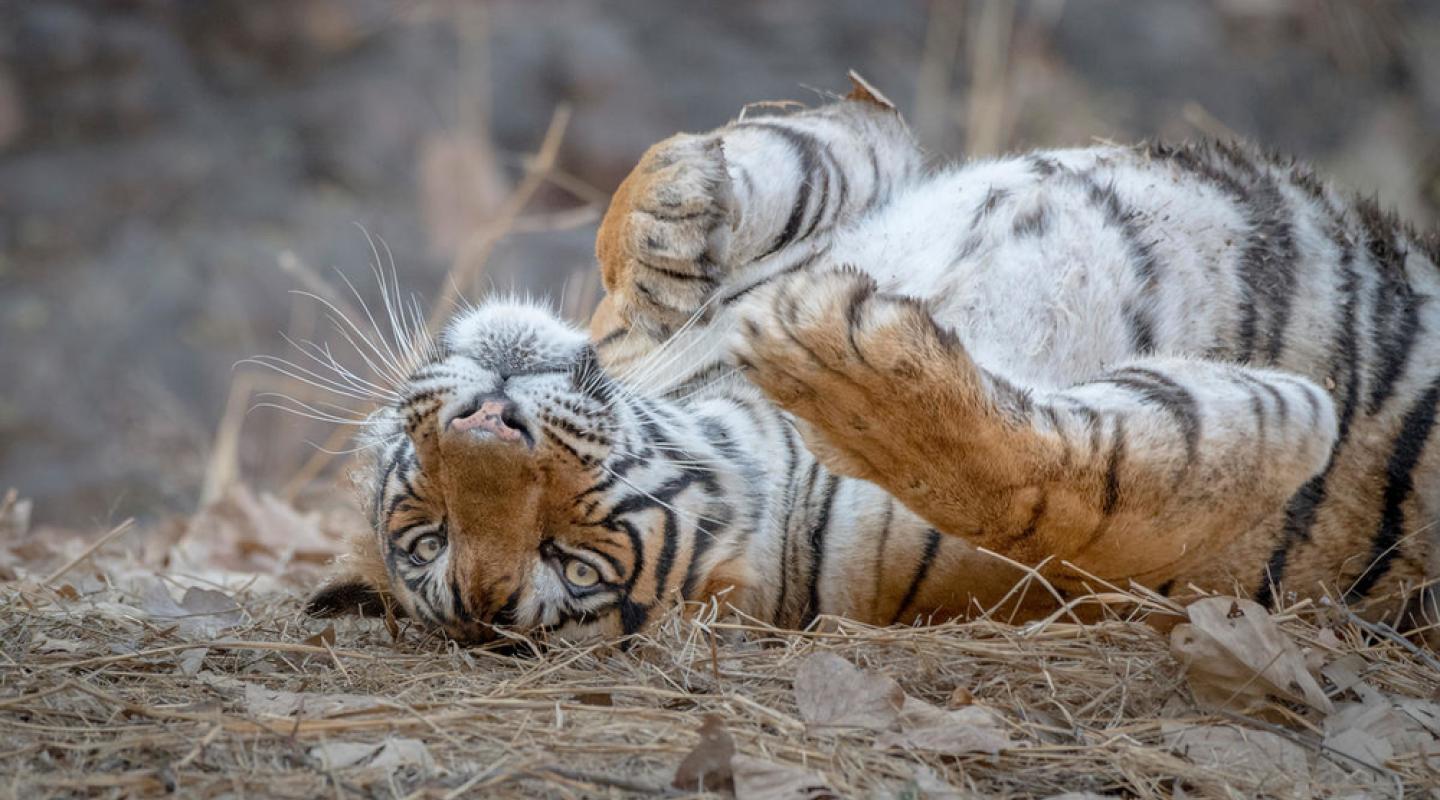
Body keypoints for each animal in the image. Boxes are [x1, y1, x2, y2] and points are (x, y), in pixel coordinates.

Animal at [306, 75, 1440, 645]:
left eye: (566, 556)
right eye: (433, 535)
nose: (485, 421)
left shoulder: (865, 162)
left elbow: (739, 162)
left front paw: (679, 226)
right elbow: (1052, 485)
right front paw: (835, 350)